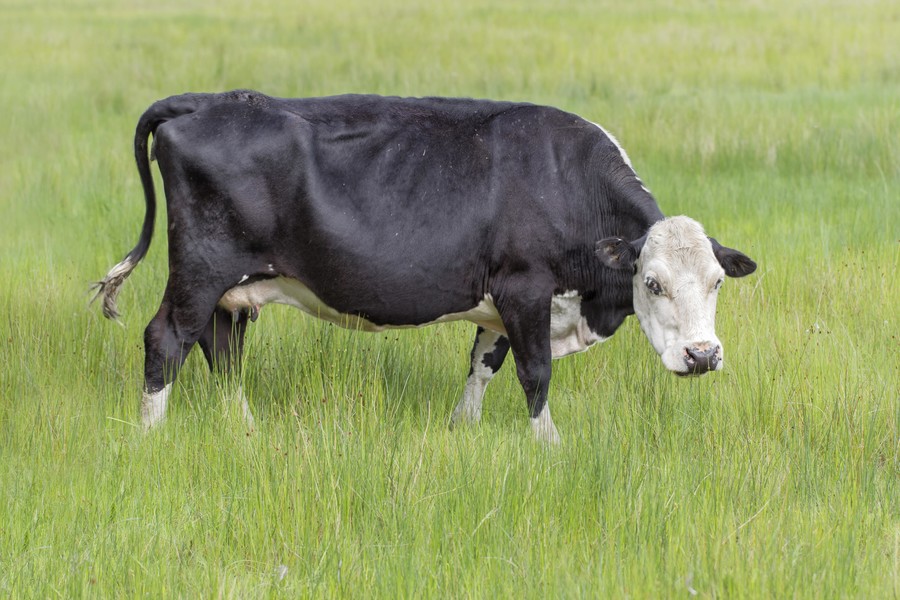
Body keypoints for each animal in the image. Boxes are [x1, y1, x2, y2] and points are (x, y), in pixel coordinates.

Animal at [93, 90, 756, 443]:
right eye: (652, 282)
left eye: (717, 282)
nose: (703, 356)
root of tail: (209, 100)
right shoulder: (525, 288)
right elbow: (535, 373)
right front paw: (549, 446)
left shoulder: (498, 304)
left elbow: (483, 365)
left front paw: (462, 430)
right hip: (199, 272)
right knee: (167, 340)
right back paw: (151, 434)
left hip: (232, 287)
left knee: (222, 349)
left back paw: (246, 429)